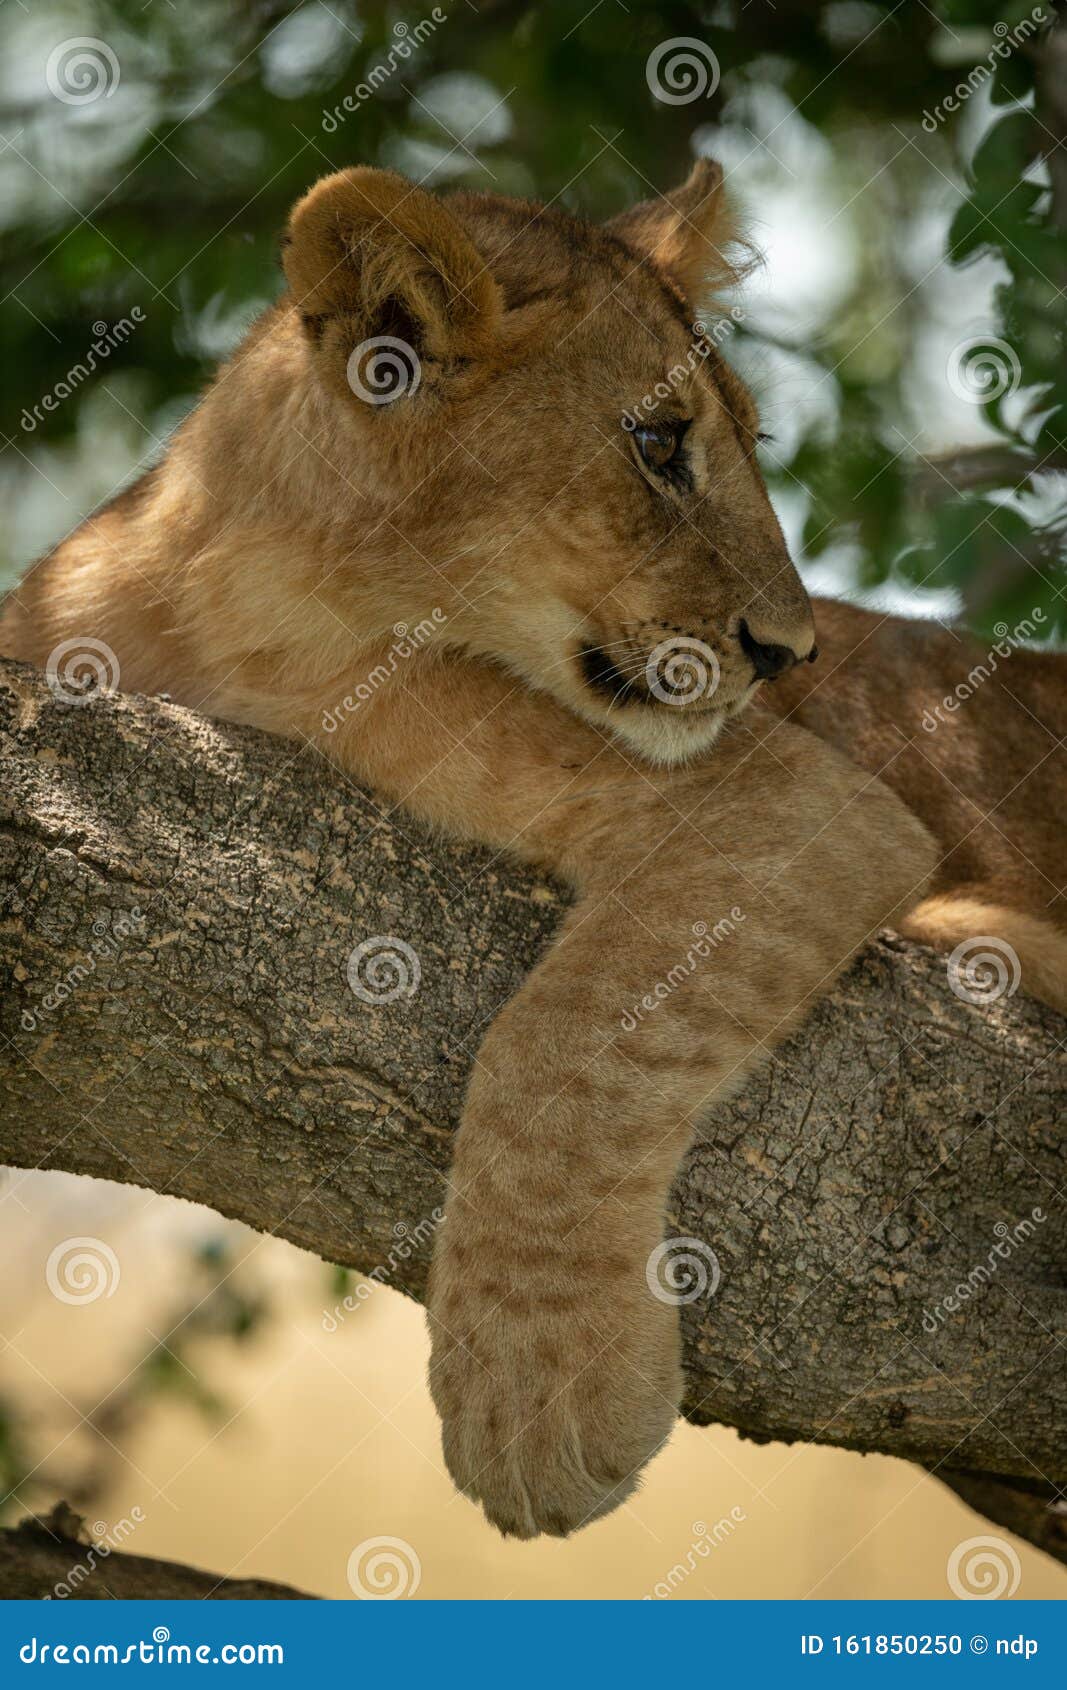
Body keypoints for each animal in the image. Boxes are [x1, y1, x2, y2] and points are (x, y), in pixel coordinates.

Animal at [2, 161, 1064, 1538]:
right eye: (657, 445)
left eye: (750, 445)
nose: (791, 652)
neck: (216, 602)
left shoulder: (805, 798)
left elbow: (564, 1043)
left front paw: (537, 1391)